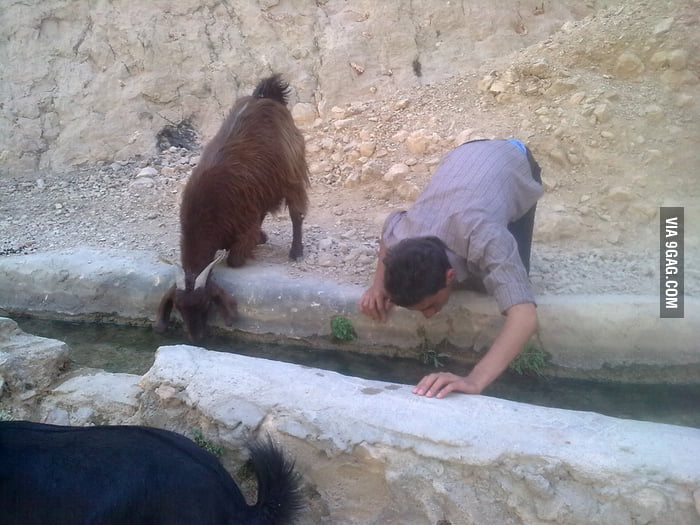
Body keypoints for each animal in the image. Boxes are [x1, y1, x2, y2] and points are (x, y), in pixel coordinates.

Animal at [154, 74, 309, 342]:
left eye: (207, 303)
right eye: (178, 307)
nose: (196, 338)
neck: (204, 218)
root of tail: (264, 96)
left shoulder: (242, 224)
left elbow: (235, 259)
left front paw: (255, 244)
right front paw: (261, 238)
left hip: (292, 173)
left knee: (296, 213)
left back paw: (296, 251)